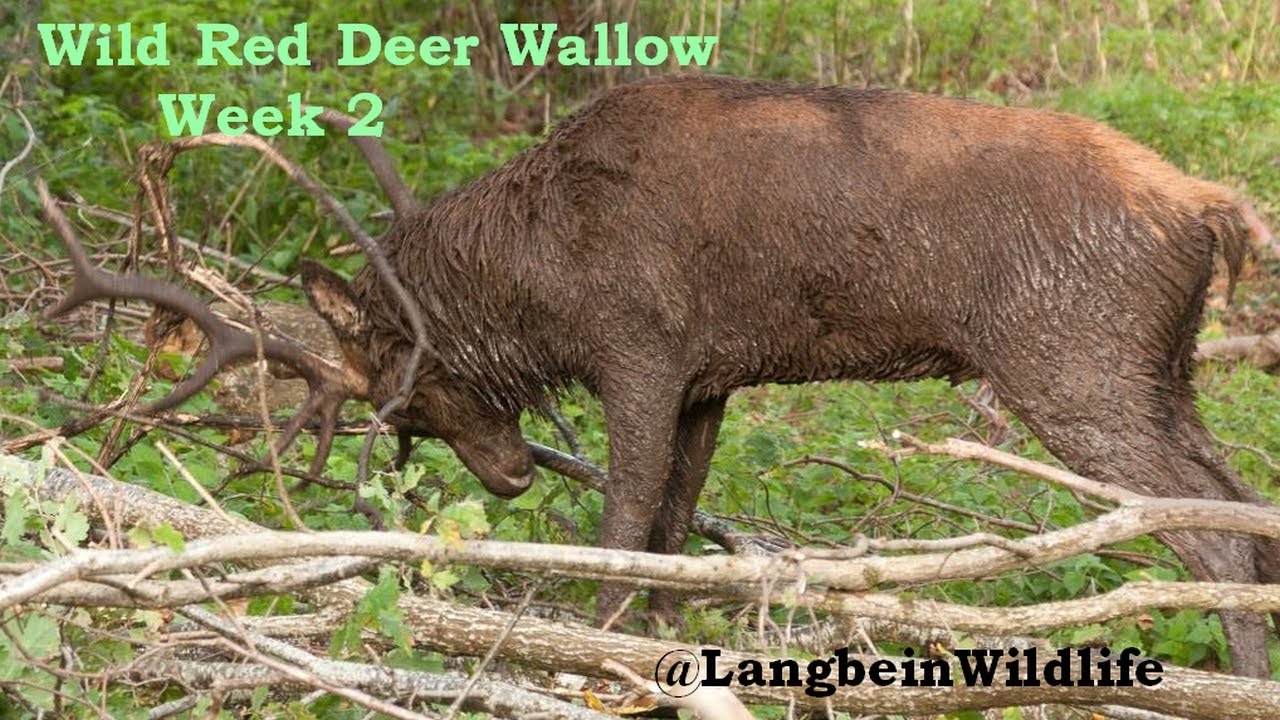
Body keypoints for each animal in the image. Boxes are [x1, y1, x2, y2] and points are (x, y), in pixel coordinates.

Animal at [41, 75, 1278, 677]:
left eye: (404, 388)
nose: (505, 479)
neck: (531, 288)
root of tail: (1211, 213)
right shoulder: (707, 378)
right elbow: (678, 525)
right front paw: (659, 643)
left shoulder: (638, 352)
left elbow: (624, 513)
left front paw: (600, 644)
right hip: (1161, 371)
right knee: (1239, 504)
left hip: (1072, 362)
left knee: (1205, 531)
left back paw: (1233, 680)